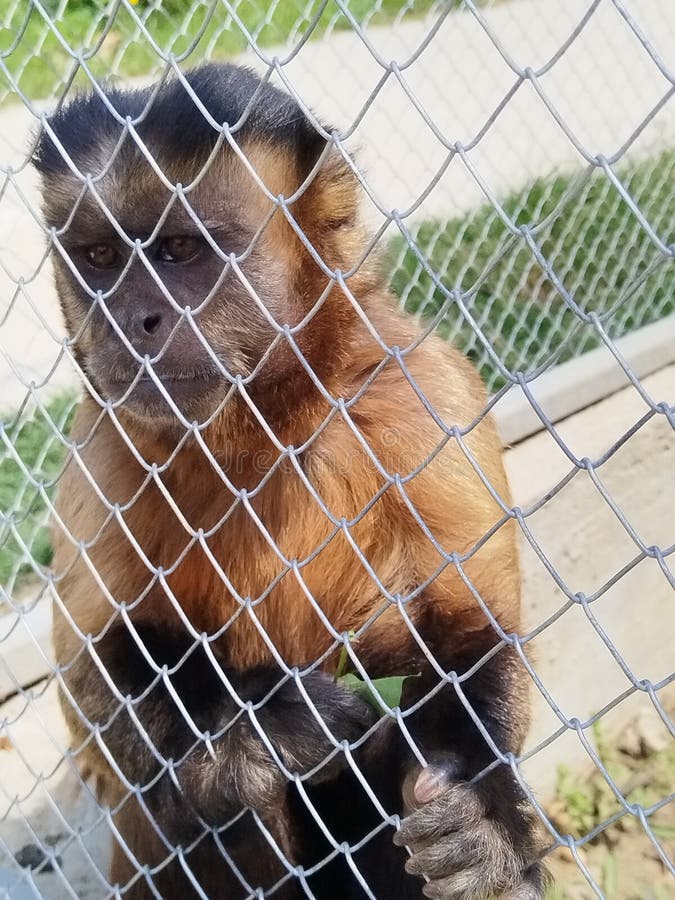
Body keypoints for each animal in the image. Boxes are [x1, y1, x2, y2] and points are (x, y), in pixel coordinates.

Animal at [33, 63, 548, 898]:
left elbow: (464, 636)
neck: (261, 419)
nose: (130, 320)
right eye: (101, 259)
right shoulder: (103, 441)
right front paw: (263, 730)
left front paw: (483, 830)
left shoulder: (421, 389)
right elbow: (88, 684)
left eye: (179, 250)